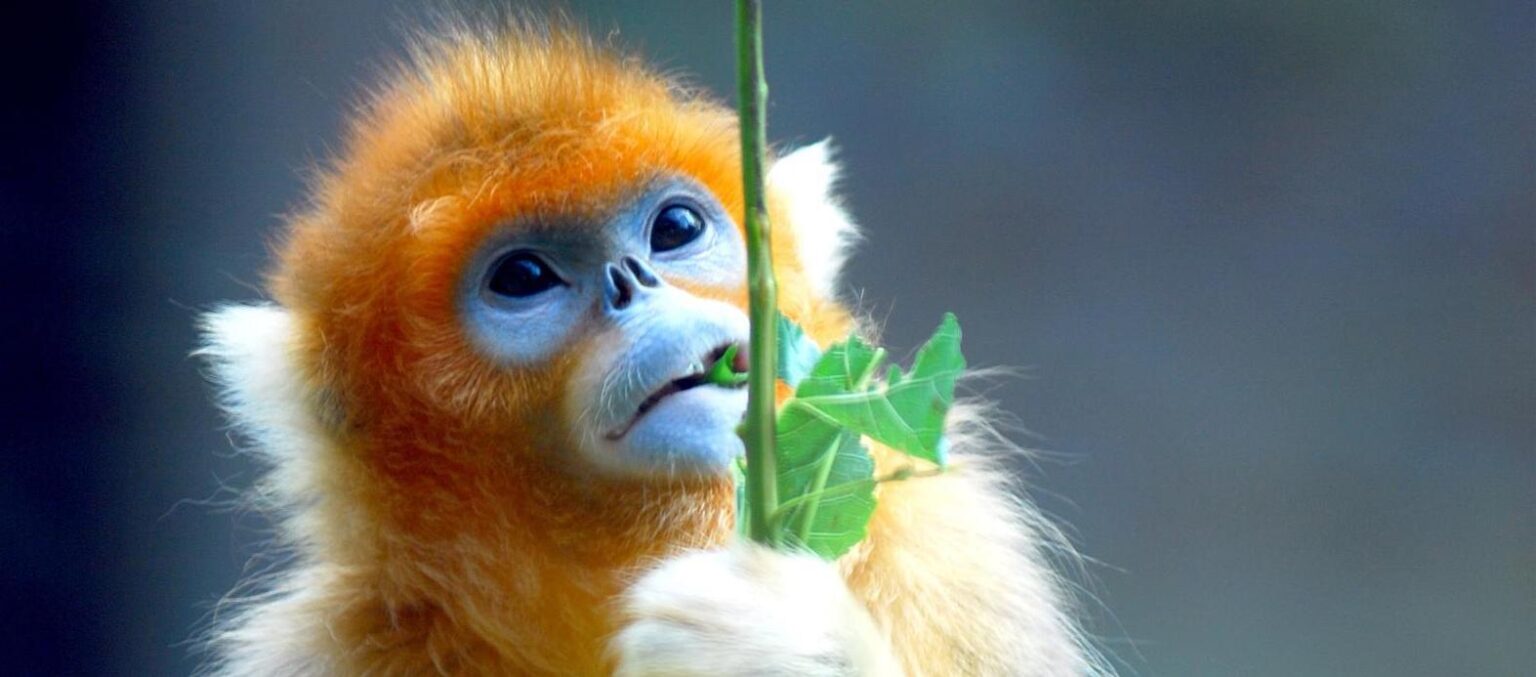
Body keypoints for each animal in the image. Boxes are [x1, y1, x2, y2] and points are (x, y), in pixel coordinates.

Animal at [197, 17, 1106, 677]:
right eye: (522, 277)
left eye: (675, 228)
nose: (631, 283)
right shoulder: (325, 647)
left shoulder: (951, 552)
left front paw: (776, 643)